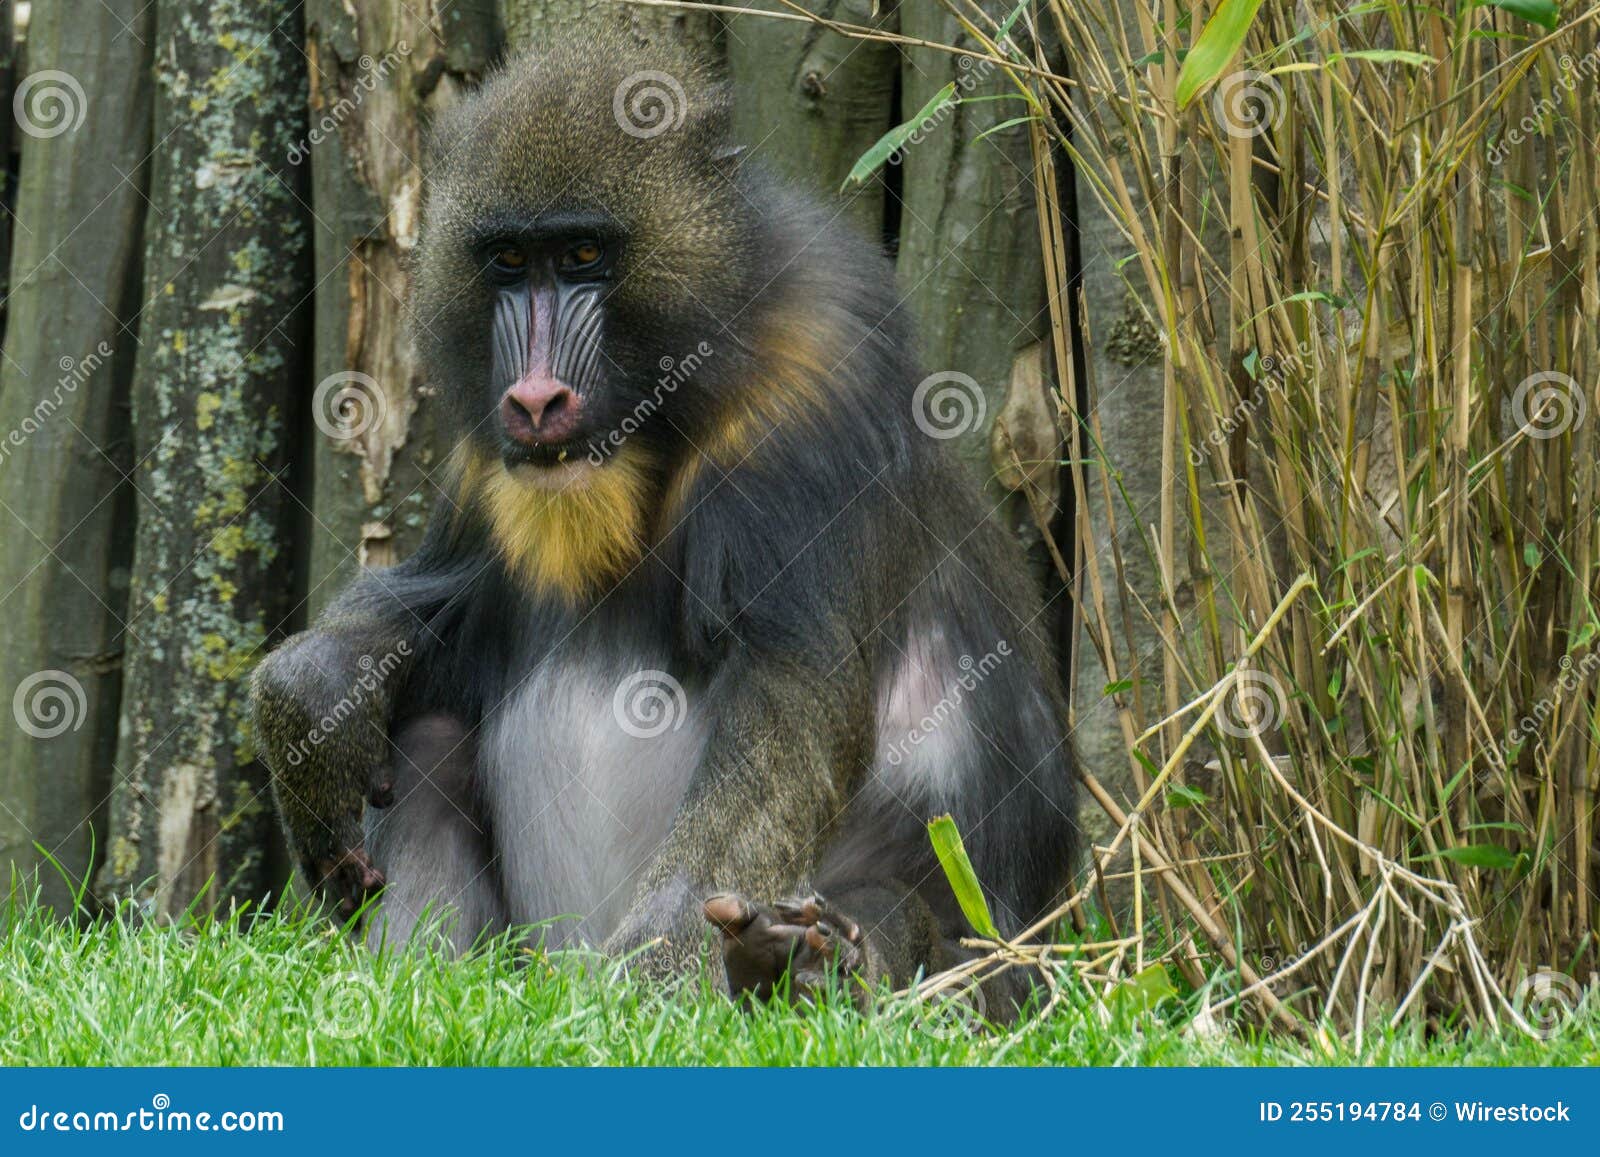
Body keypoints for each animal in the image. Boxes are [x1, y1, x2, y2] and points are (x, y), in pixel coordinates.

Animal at [251, 26, 1079, 1008]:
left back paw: (802, 965)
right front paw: (313, 694)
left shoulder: (809, 385)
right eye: (507, 262)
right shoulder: (486, 458)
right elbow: (436, 606)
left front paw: (658, 975)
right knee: (427, 735)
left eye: (582, 256)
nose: (537, 399)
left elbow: (790, 703)